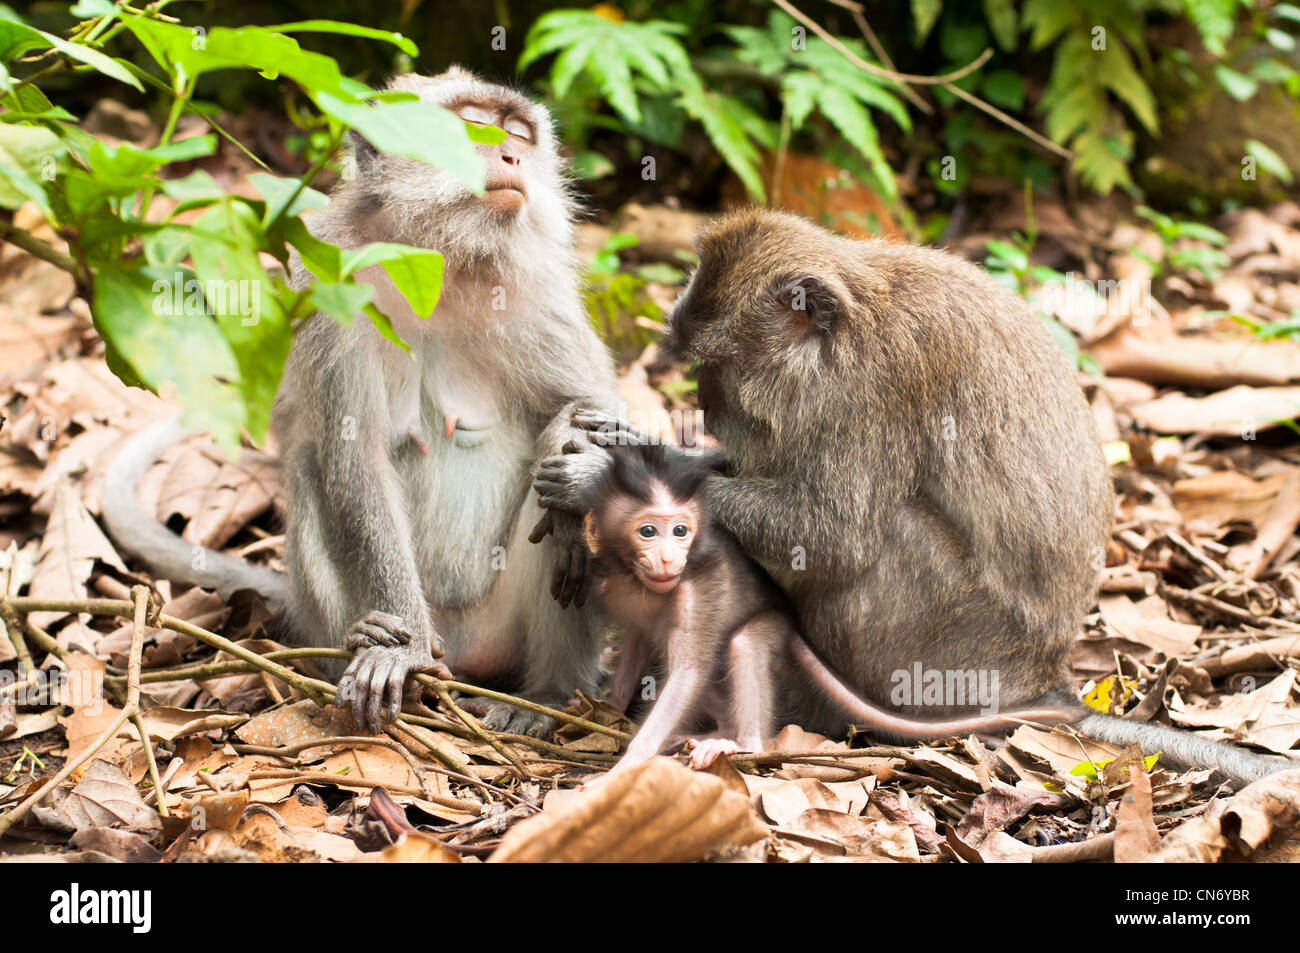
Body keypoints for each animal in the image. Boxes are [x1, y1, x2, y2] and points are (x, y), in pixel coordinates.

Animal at [102, 68, 619, 735]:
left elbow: (597, 410)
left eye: (518, 135)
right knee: (310, 468)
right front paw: (403, 650)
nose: (510, 157)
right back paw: (361, 644)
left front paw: (573, 452)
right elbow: (357, 460)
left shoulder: (539, 288)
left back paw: (549, 693)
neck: (442, 259)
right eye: (476, 125)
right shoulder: (331, 282)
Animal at [536, 208, 1294, 787]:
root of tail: (1040, 678)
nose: (705, 403)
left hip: (943, 644)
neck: (844, 331)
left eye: (715, 366)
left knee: (889, 537)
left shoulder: (870, 390)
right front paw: (645, 449)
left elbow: (832, 535)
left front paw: (596, 480)